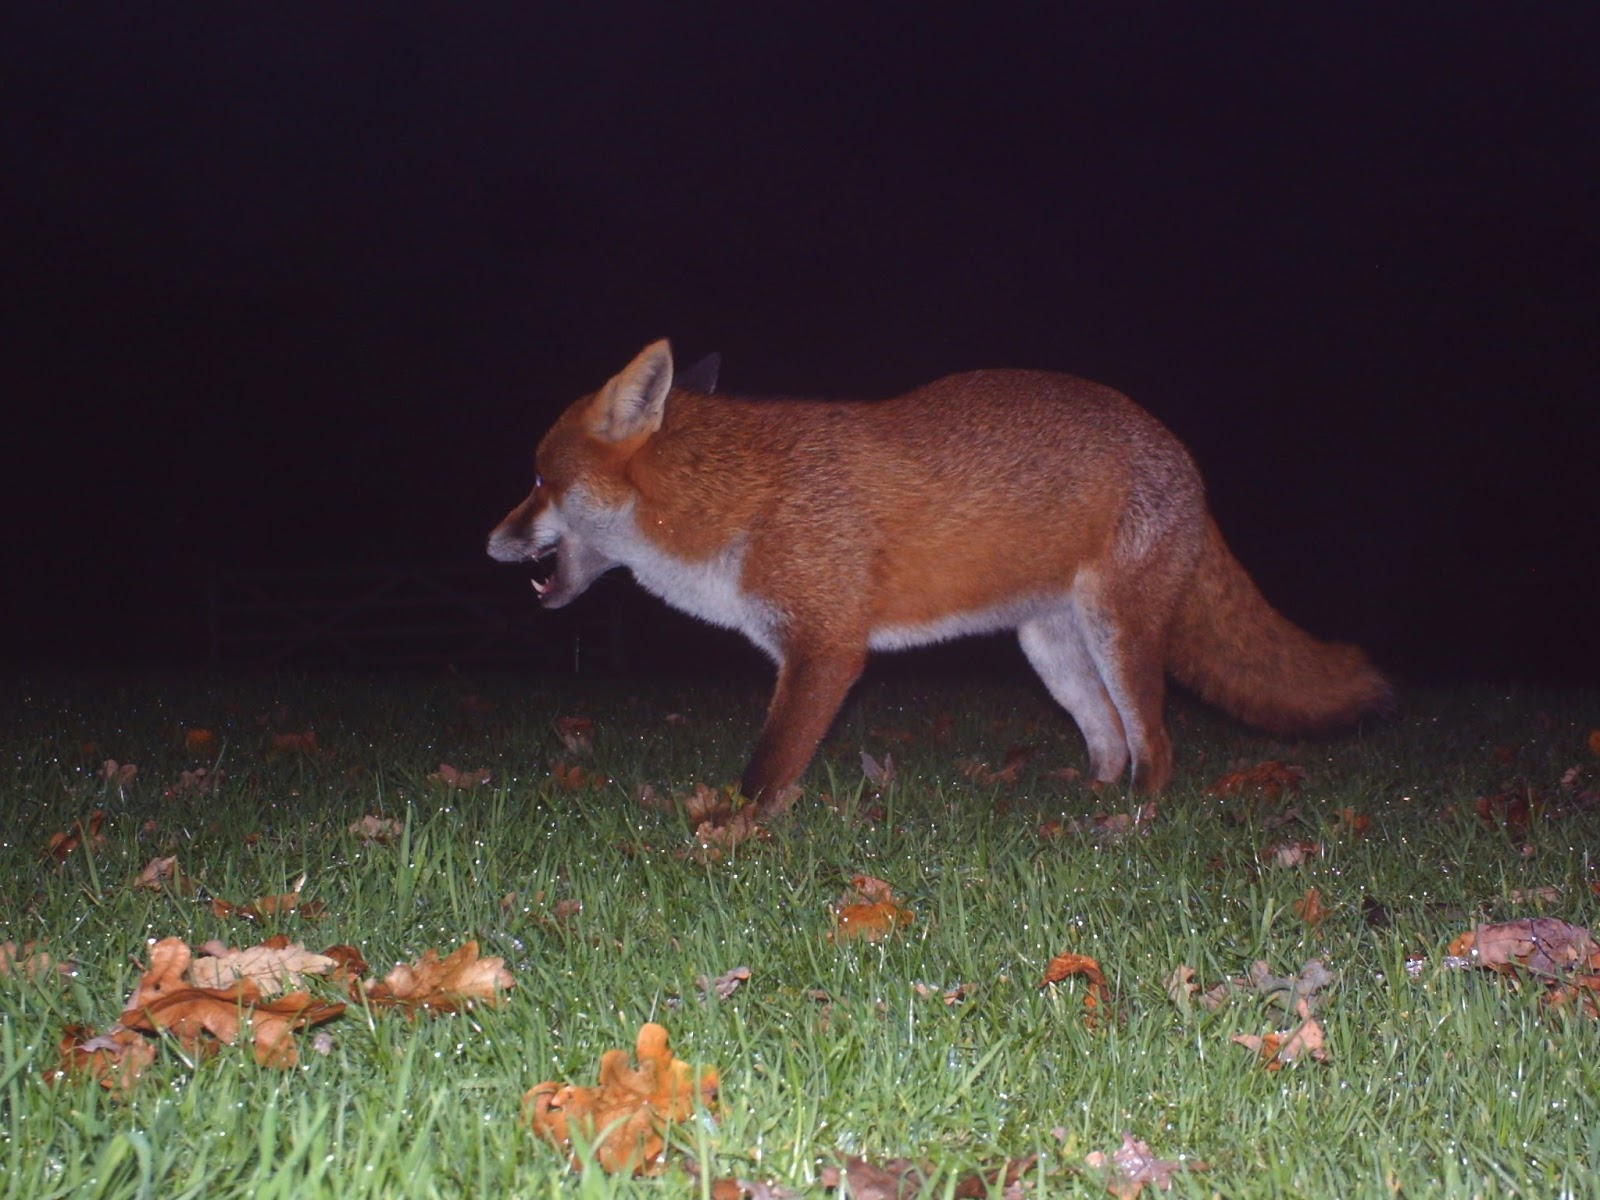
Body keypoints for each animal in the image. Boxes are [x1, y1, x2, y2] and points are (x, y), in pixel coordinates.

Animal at [488, 339, 1393, 809]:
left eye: (535, 479)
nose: (490, 539)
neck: (735, 501)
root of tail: (1181, 454)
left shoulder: (826, 651)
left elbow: (765, 773)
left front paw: (725, 841)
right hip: (1053, 653)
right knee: (1107, 735)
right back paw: (1085, 801)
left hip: (1119, 637)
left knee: (1157, 745)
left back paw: (1131, 821)